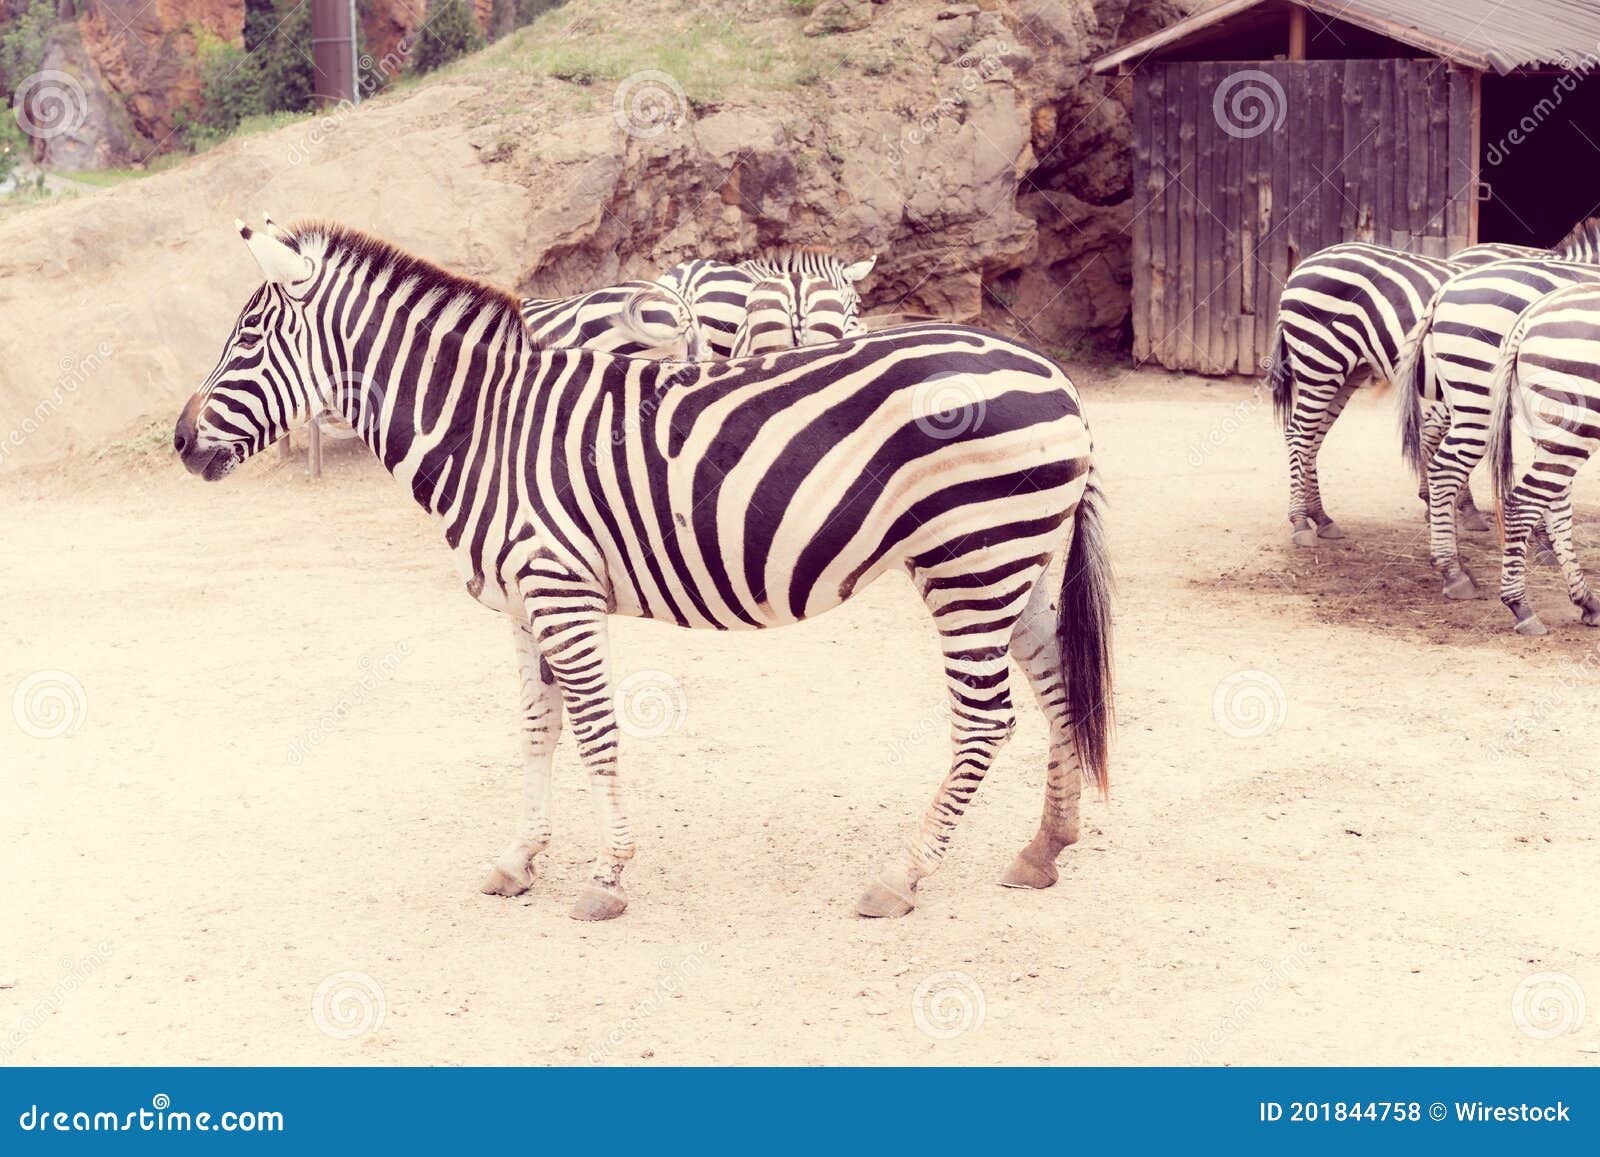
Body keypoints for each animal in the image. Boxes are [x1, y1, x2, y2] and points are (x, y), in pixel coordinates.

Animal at [1271, 239, 1548, 546]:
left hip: (1346, 372)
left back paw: (1321, 517)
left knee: (1313, 438)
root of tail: (1304, 265)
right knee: (1299, 435)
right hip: (1319, 364)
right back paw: (1300, 522)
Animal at [1485, 283, 1600, 635]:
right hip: (1573, 430)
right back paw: (1521, 608)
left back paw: (1588, 602)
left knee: (1555, 509)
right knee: (1523, 503)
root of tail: (1529, 316)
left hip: (1551, 435)